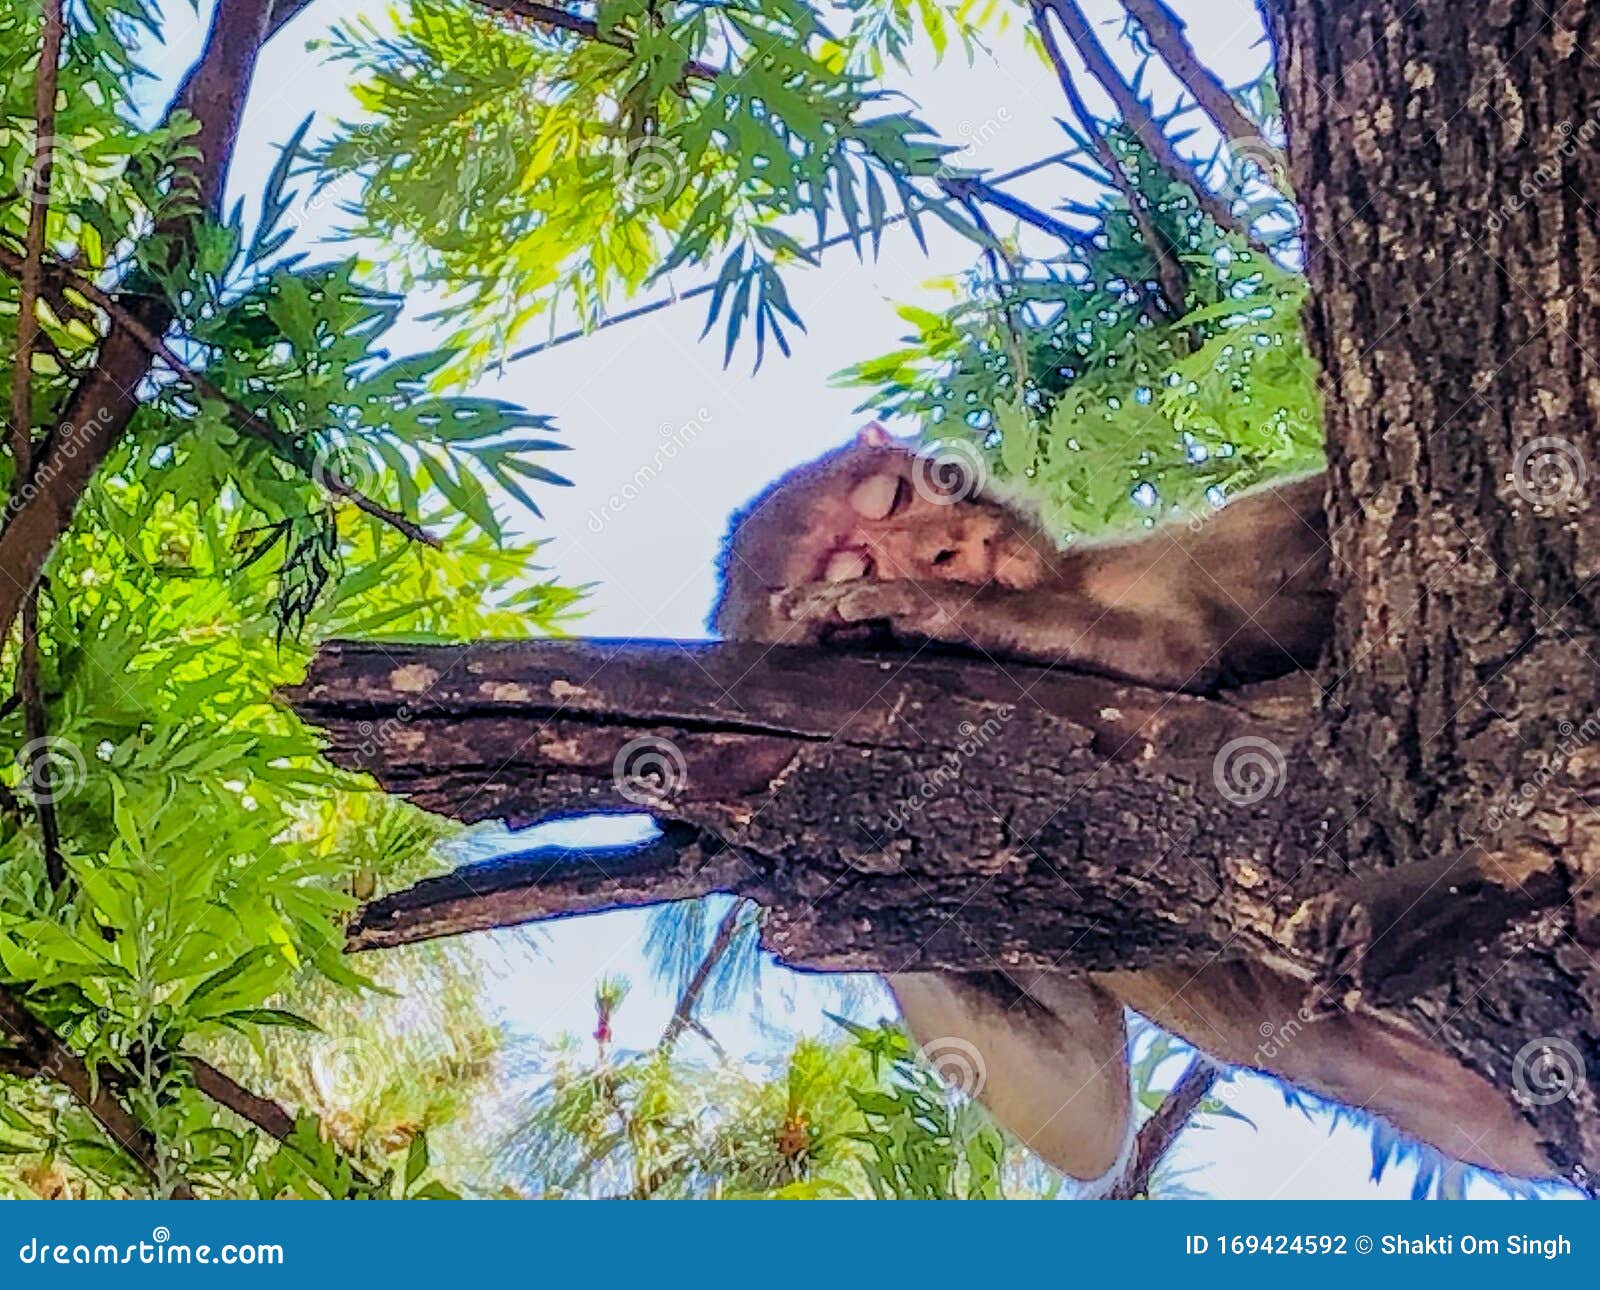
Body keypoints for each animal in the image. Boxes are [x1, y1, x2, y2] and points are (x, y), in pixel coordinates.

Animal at [713, 425, 1553, 1186]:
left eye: (894, 500)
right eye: (862, 552)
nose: (942, 553)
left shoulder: (1170, 556)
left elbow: (1180, 646)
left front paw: (936, 605)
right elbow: (1082, 1115)